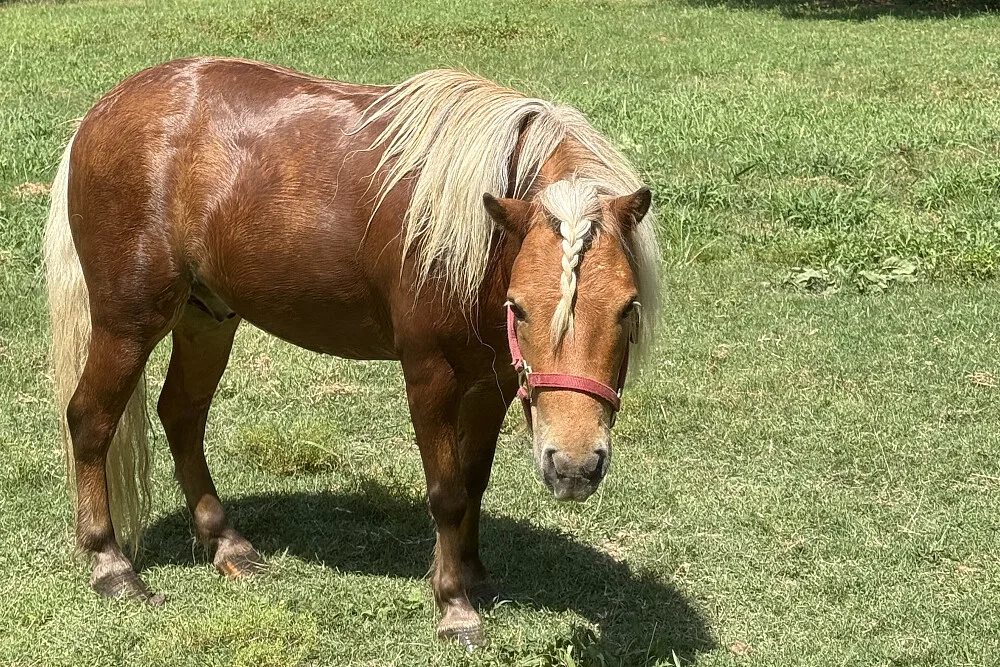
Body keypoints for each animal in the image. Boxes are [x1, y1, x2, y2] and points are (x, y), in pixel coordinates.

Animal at [43, 58, 660, 647]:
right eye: (521, 307)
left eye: (628, 308)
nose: (575, 467)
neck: (476, 234)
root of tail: (100, 114)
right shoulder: (430, 373)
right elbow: (447, 492)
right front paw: (454, 606)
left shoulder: (496, 380)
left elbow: (474, 479)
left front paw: (474, 573)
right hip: (129, 323)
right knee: (90, 420)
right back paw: (110, 563)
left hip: (207, 318)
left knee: (181, 416)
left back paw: (226, 543)